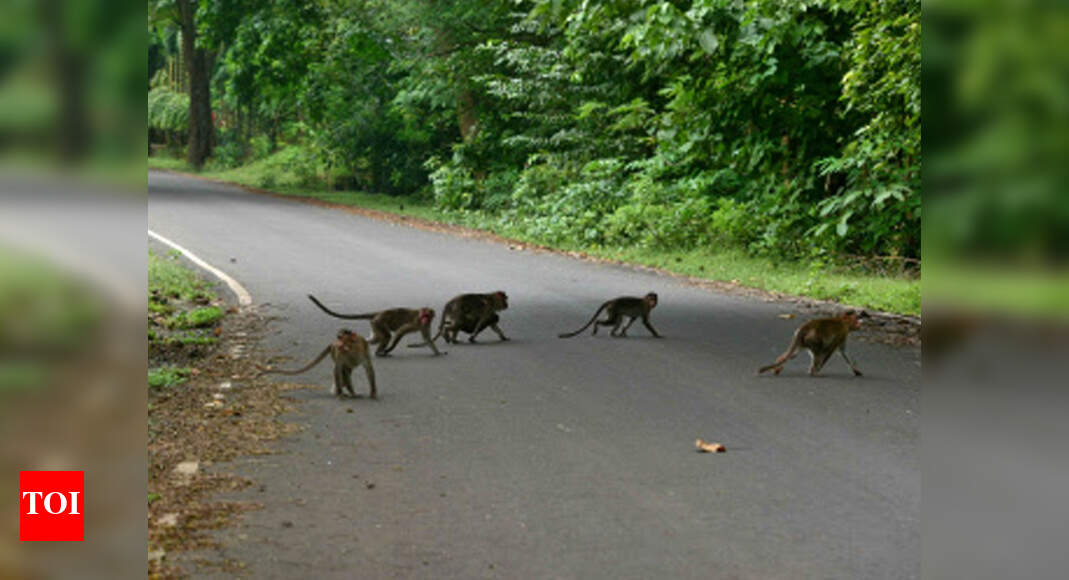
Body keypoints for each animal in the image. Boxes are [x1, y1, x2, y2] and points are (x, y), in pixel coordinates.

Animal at [307, 294, 444, 356]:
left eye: (428, 316)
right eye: (423, 315)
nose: (425, 319)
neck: (420, 318)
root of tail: (378, 313)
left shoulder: (425, 325)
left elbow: (427, 338)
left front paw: (438, 352)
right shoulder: (416, 322)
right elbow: (401, 331)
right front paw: (389, 349)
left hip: (375, 324)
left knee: (377, 338)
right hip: (379, 322)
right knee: (387, 336)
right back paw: (379, 352)